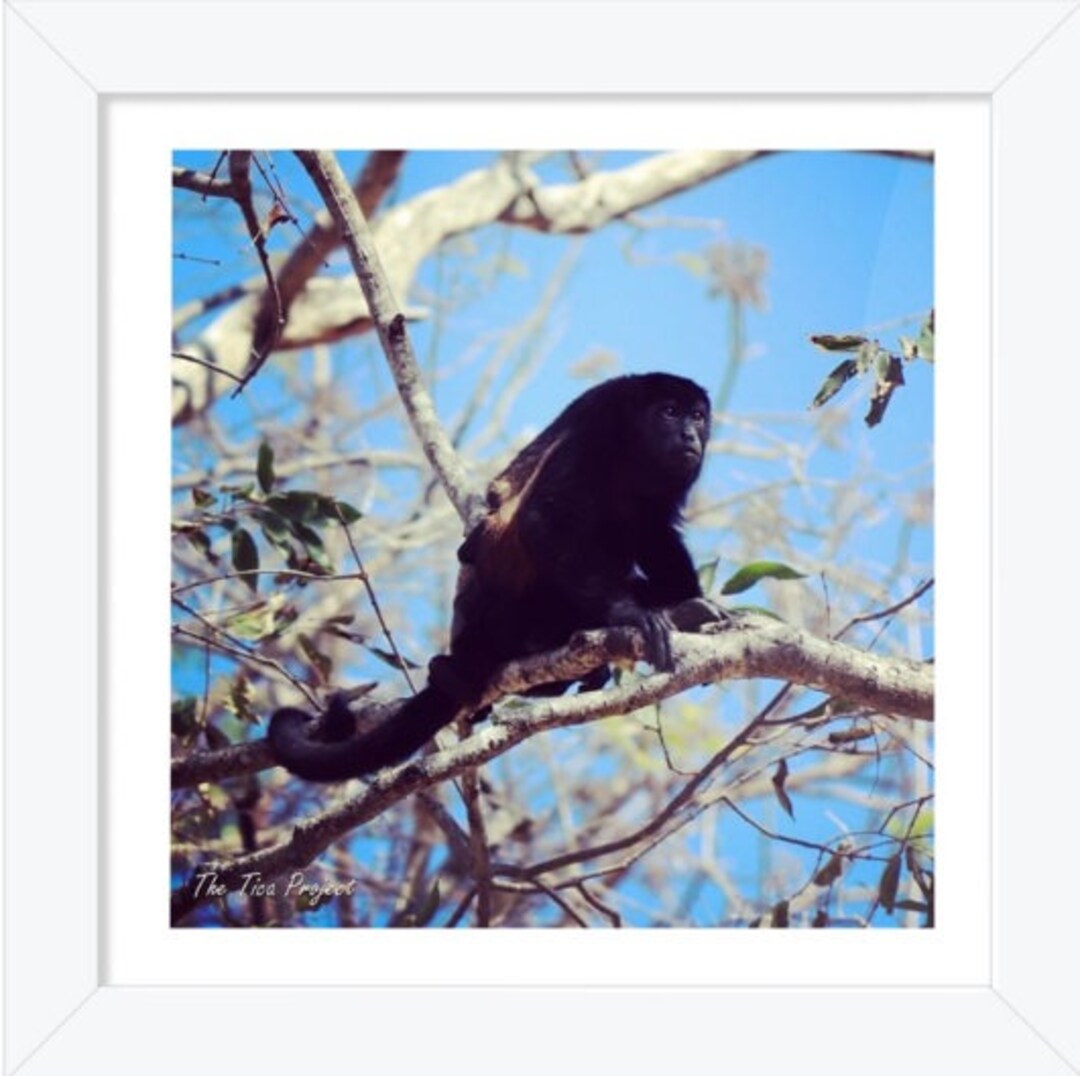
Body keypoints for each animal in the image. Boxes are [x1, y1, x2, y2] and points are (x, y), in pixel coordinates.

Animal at [268, 372, 711, 781]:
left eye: (698, 416)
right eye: (669, 412)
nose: (691, 434)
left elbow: (656, 529)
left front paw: (689, 602)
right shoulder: (599, 428)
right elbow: (544, 517)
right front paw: (629, 613)